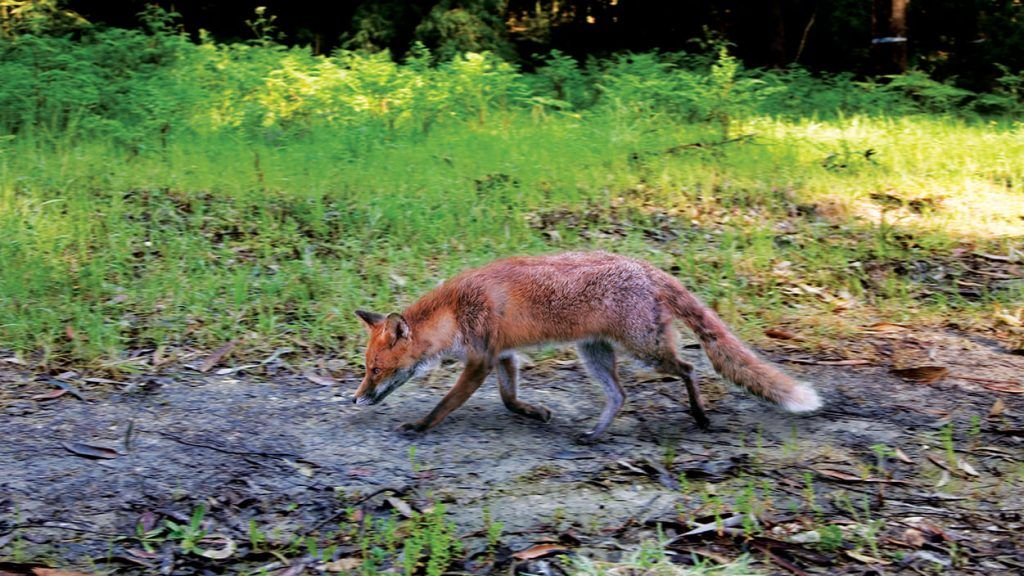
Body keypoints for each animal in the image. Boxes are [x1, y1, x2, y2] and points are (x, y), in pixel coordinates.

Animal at [353, 251, 821, 443]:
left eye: (375, 370)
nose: (355, 400)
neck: (454, 310)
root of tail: (646, 267)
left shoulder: (481, 360)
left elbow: (444, 405)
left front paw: (420, 427)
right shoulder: (503, 354)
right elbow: (508, 399)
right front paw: (534, 412)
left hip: (645, 350)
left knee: (688, 368)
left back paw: (700, 416)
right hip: (595, 353)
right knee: (620, 395)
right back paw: (596, 434)